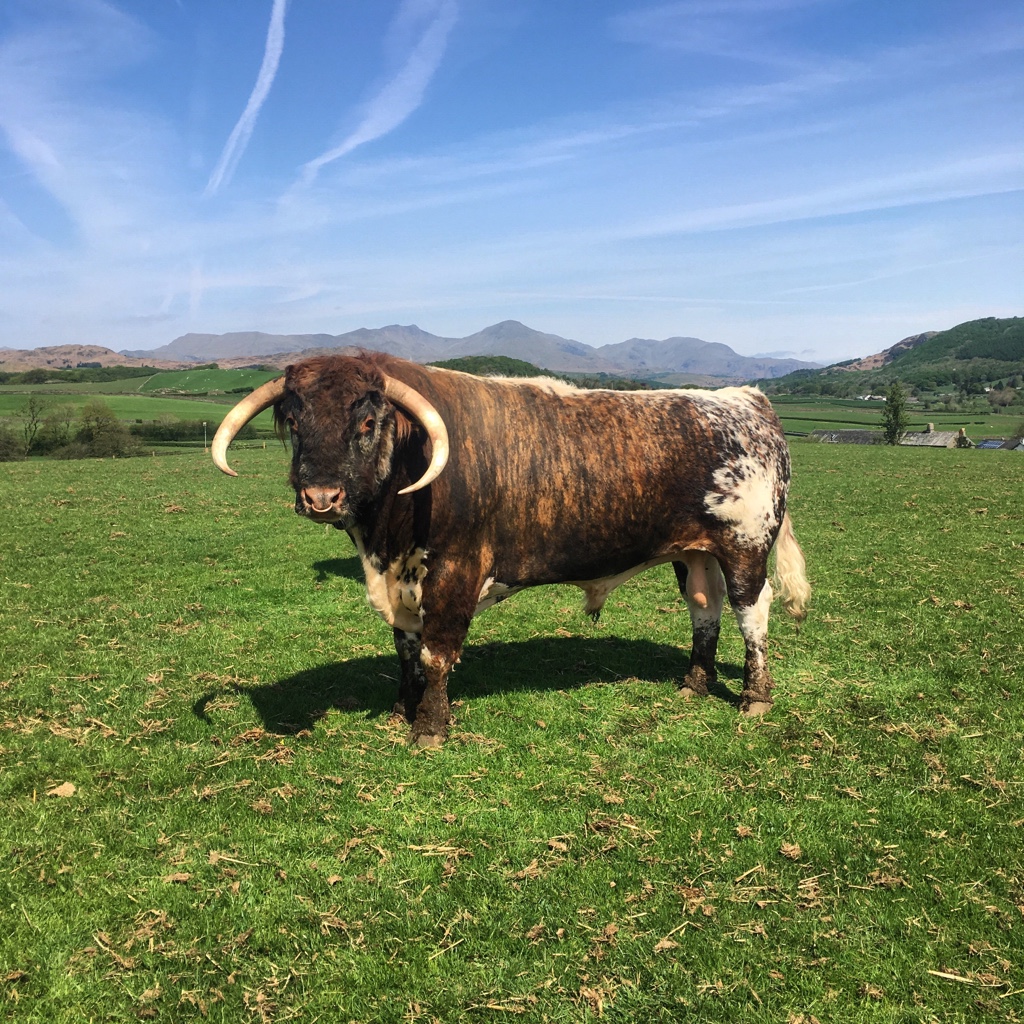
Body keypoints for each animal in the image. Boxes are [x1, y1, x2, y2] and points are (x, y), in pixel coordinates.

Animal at [212, 352, 810, 747]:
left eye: (366, 421)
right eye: (295, 420)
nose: (320, 496)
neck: (384, 540)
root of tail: (744, 399)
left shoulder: (454, 571)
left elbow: (435, 652)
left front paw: (429, 727)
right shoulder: (401, 579)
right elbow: (406, 648)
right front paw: (402, 708)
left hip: (744, 546)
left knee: (751, 613)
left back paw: (755, 698)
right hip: (696, 552)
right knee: (705, 610)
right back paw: (694, 684)